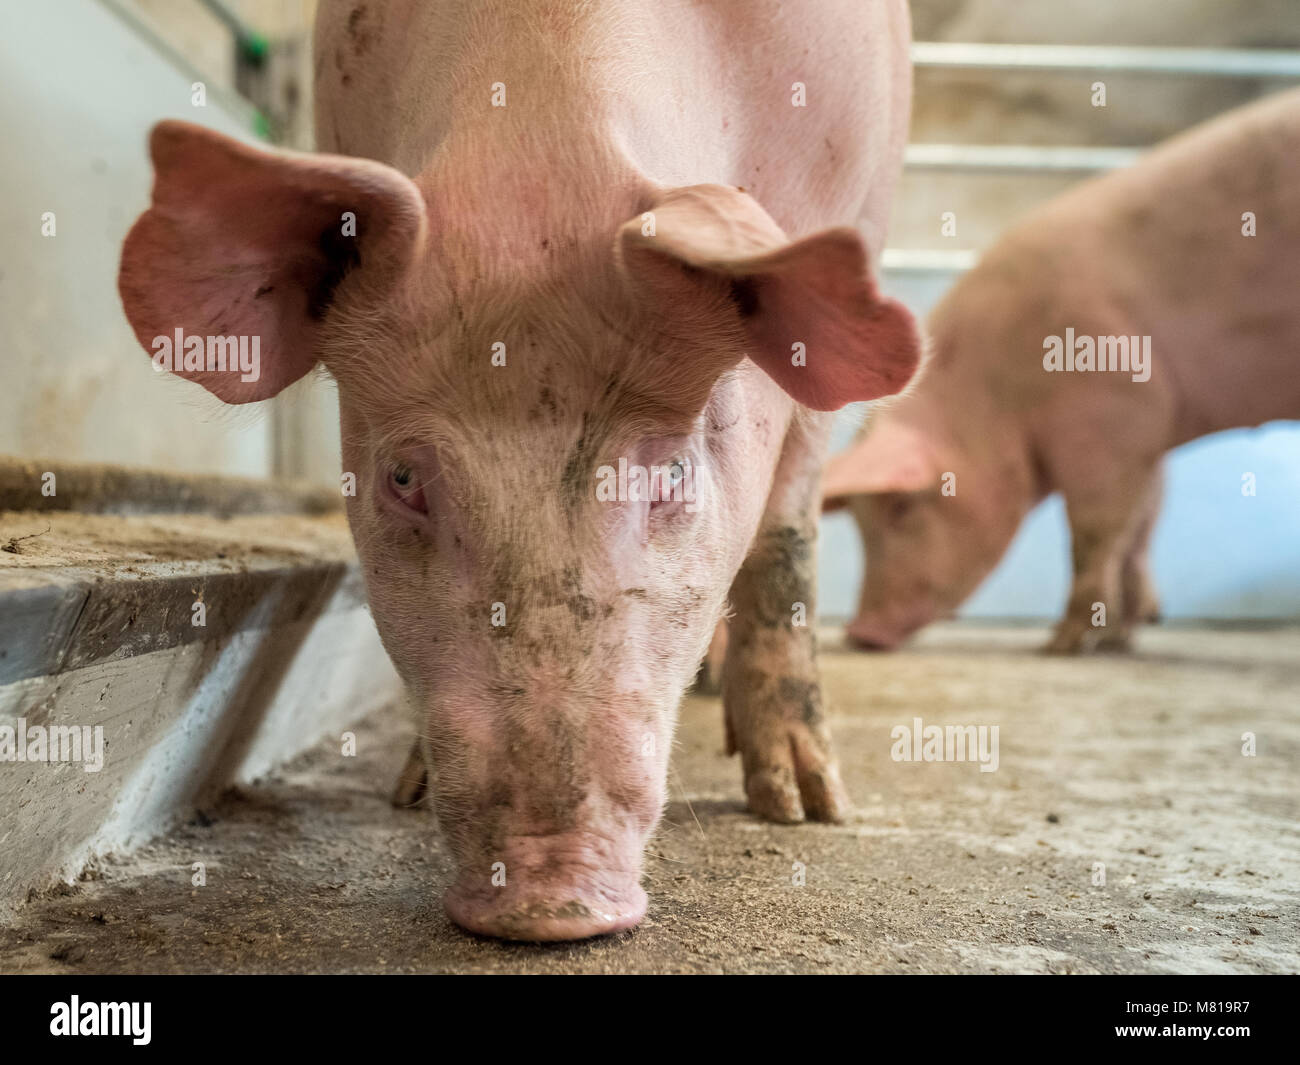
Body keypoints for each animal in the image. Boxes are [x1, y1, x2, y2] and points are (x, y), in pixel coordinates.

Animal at [117, 0, 919, 939]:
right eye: (402, 478)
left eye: (672, 475)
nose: (548, 897)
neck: (544, 142)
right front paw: (406, 790)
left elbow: (788, 537)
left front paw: (805, 808)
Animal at [823, 88, 1300, 655]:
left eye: (901, 507)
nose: (860, 632)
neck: (997, 390)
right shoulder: (1151, 432)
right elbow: (1141, 526)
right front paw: (1119, 639)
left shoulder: (1114, 411)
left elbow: (1095, 532)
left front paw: (1063, 645)